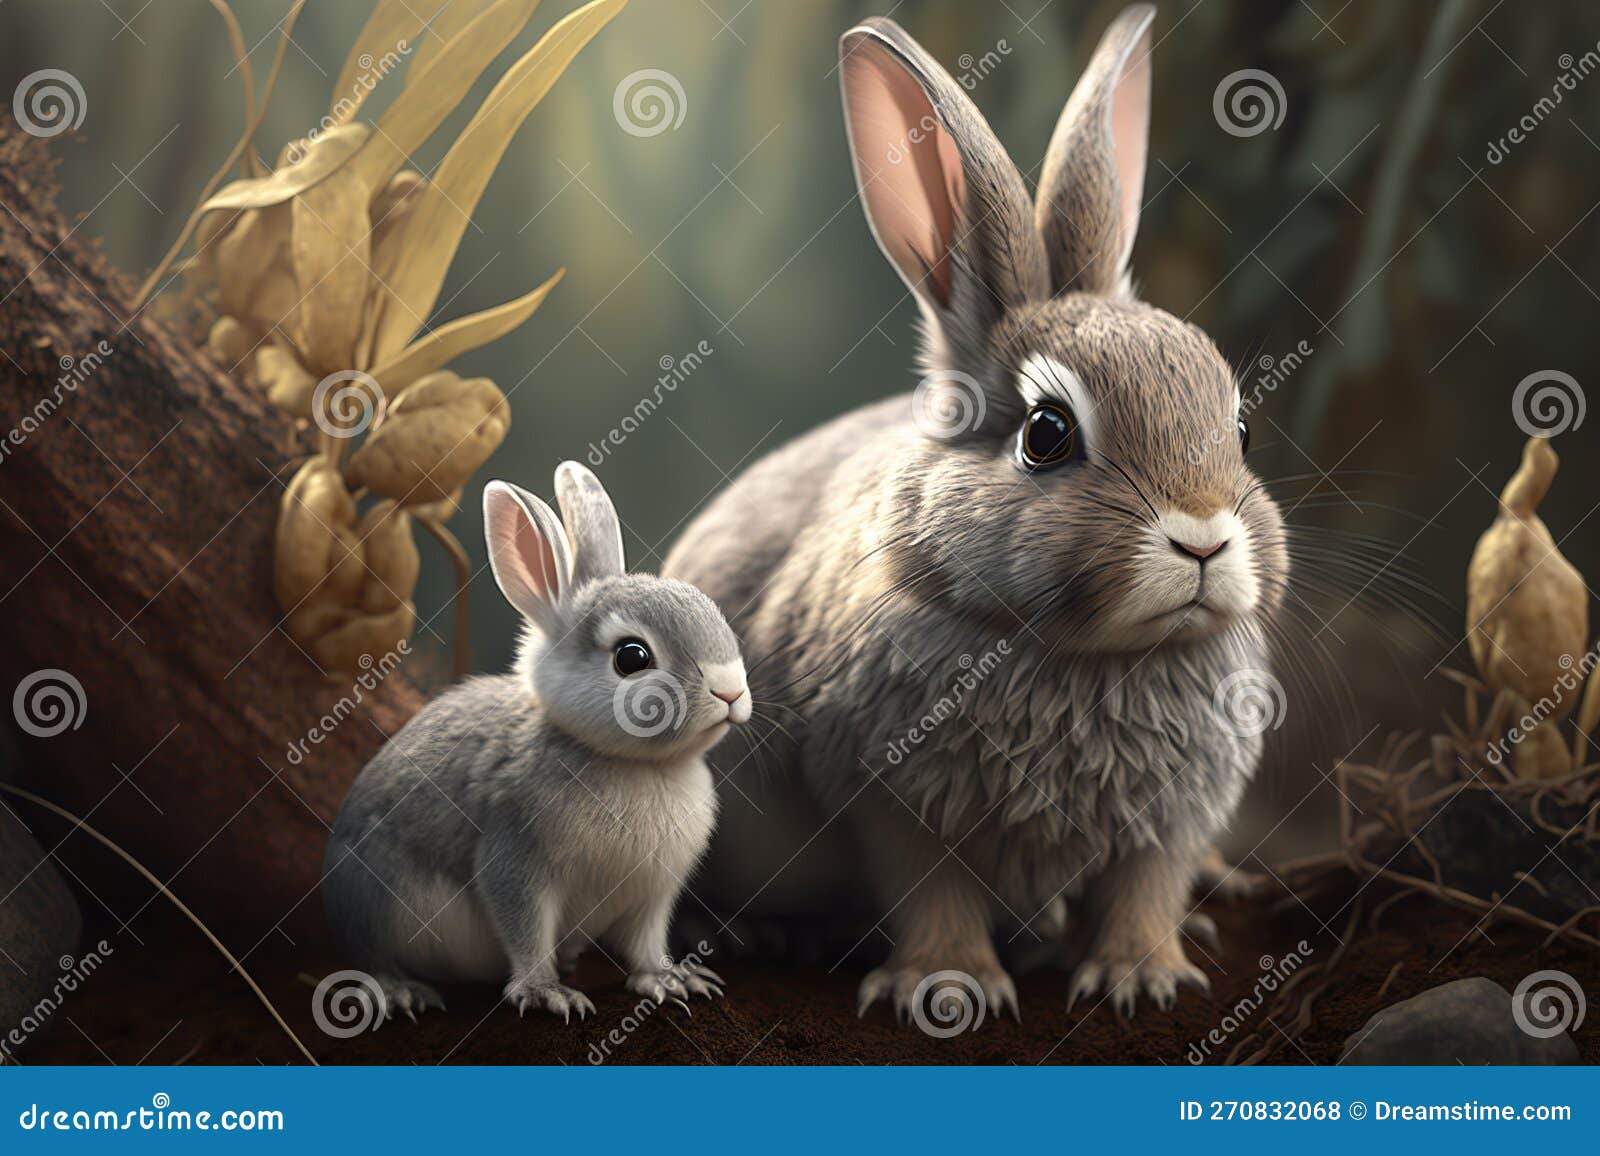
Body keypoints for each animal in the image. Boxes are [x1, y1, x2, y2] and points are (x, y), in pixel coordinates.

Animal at [323, 461, 748, 1022]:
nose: (731, 690)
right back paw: (399, 991)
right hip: (372, 902)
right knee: (372, 957)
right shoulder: (515, 860)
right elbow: (526, 933)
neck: (631, 763)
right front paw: (548, 994)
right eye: (632, 657)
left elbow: (645, 943)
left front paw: (670, 980)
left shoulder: (652, 894)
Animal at [663, 4, 1288, 1023]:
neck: (1085, 657)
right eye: (1046, 434)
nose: (1202, 538)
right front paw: (945, 987)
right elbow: (932, 893)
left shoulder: (1171, 814)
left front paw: (1144, 977)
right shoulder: (895, 803)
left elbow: (1144, 888)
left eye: (1240, 426)